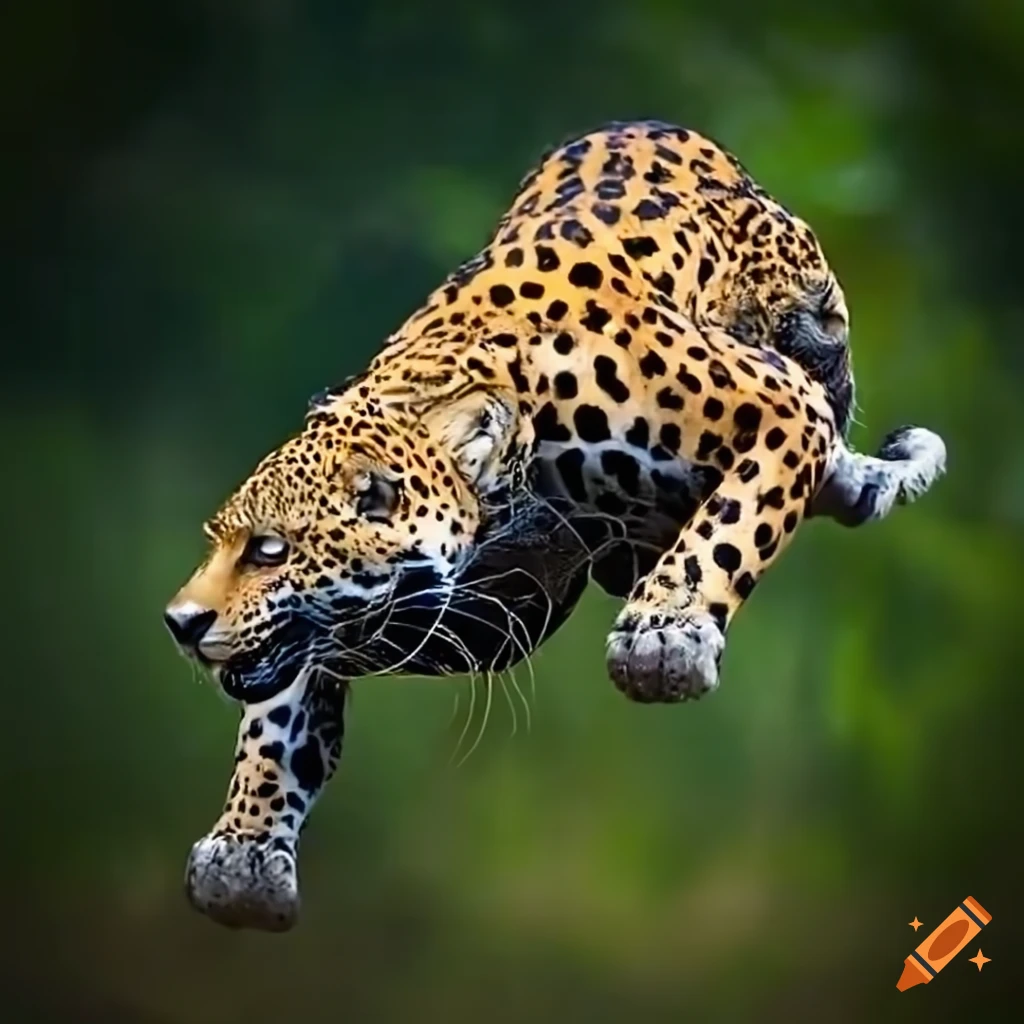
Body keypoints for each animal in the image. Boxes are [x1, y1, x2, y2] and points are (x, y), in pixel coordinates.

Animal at [164, 120, 946, 931]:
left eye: (269, 551)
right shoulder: (481, 616)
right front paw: (245, 849)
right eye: (224, 542)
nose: (178, 622)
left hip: (813, 324)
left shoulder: (786, 406)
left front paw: (665, 634)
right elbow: (282, 708)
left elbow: (730, 525)